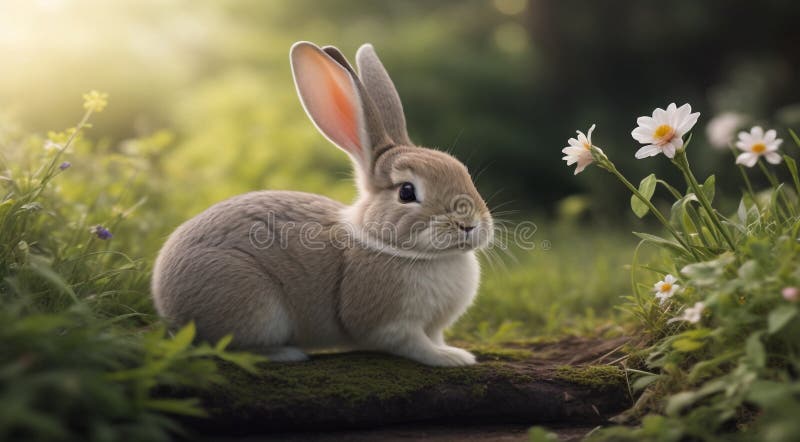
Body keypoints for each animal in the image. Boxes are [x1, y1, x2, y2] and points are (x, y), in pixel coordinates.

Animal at [151, 41, 494, 366]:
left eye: (464, 172)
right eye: (407, 192)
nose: (470, 225)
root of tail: (164, 295)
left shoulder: (433, 327)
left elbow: (434, 338)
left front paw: (451, 351)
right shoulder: (390, 323)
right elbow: (413, 344)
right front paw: (453, 358)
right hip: (251, 304)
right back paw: (287, 354)